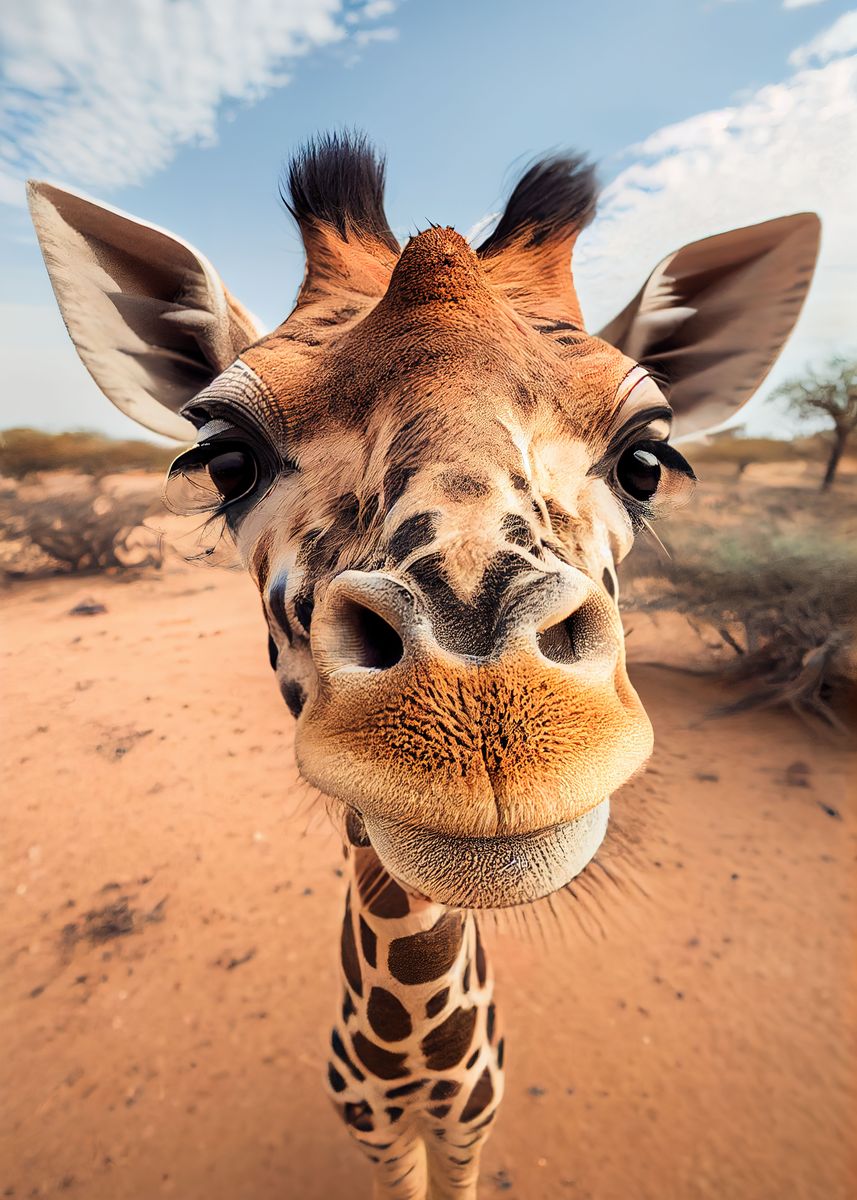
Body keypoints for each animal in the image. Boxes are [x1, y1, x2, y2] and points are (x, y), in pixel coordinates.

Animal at [28, 132, 819, 1198]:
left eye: (646, 460)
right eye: (225, 457)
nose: (487, 725)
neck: (416, 1082)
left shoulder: (470, 1126)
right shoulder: (375, 1134)